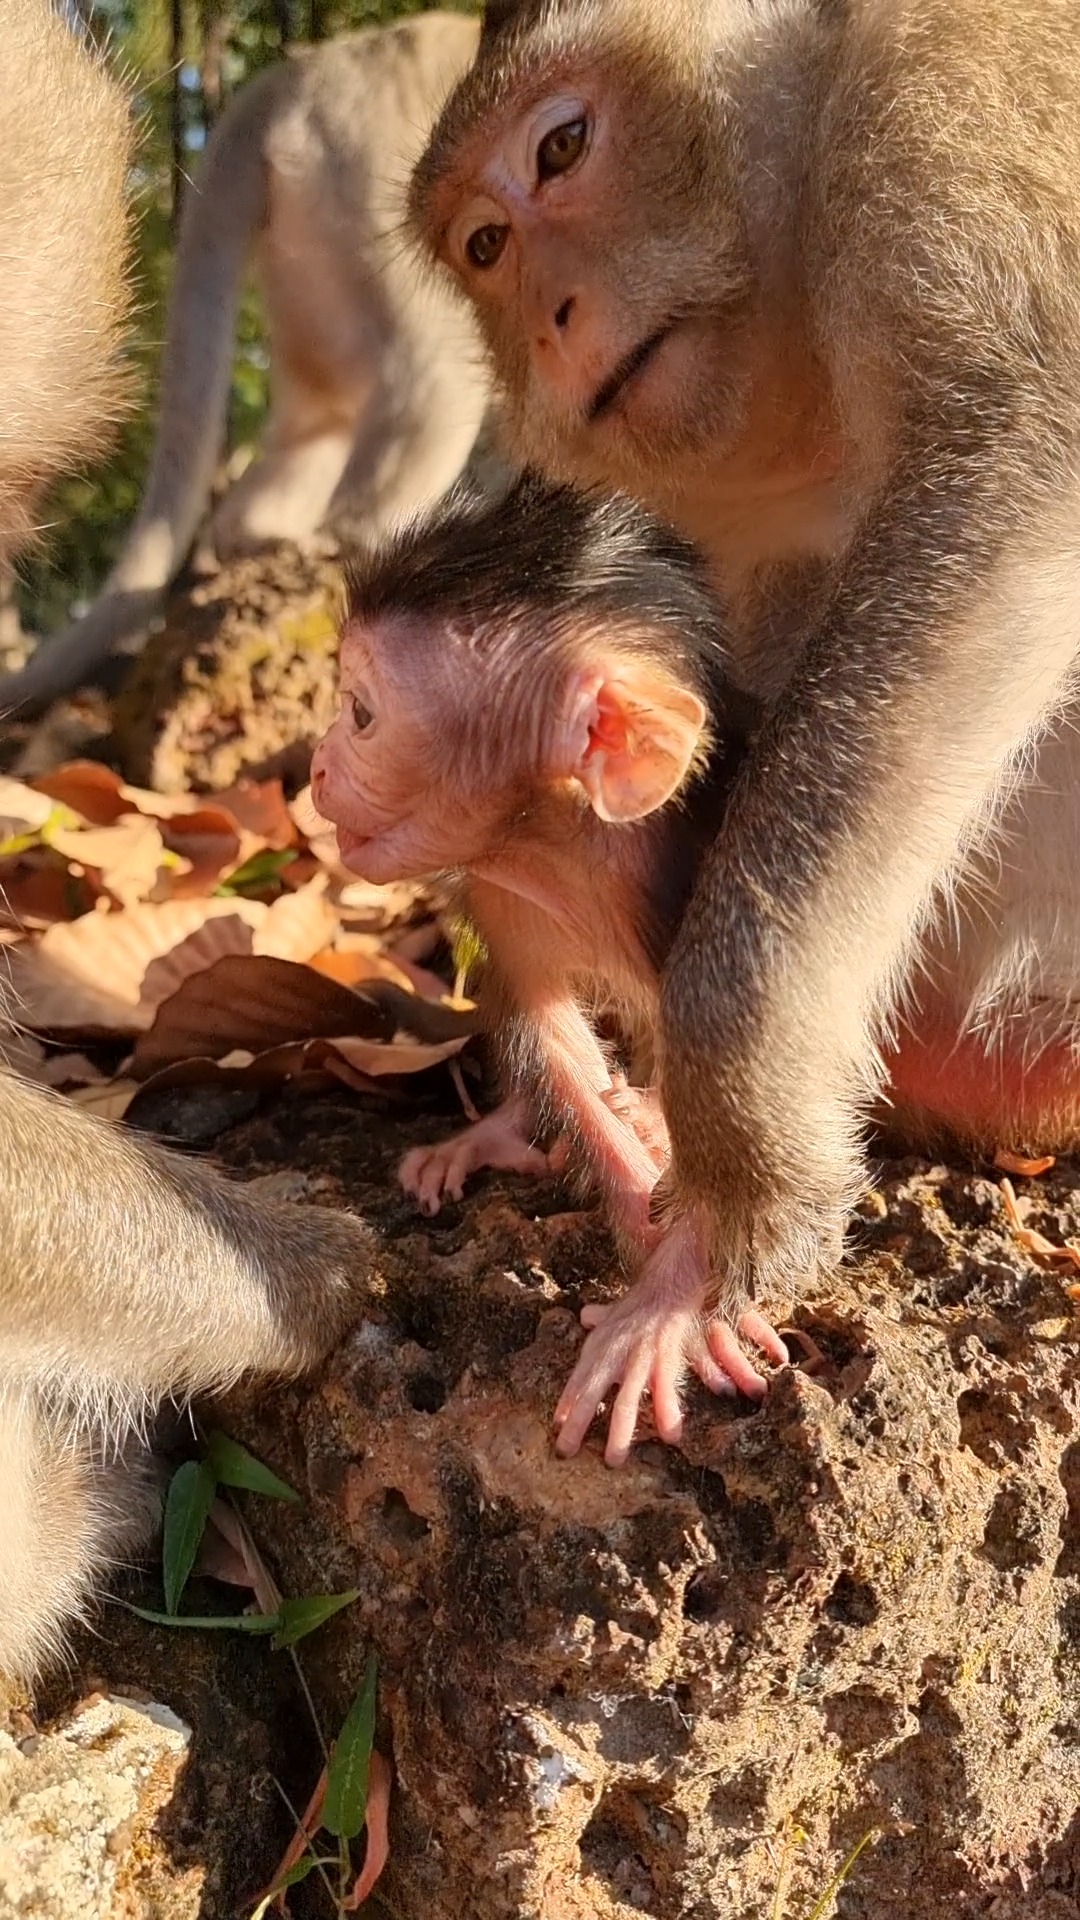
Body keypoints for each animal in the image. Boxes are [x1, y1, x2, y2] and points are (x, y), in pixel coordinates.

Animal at [0, 9, 490, 723]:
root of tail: (295, 74)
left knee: (323, 418)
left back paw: (259, 533)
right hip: (382, 180)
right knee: (435, 376)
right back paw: (363, 535)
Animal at [310, 474, 789, 1466]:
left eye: (362, 713)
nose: (317, 764)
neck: (561, 850)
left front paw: (673, 1303)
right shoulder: (501, 889)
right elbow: (550, 1039)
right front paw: (643, 1220)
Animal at [397, 0, 1080, 1457]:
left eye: (563, 148)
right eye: (484, 251)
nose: (548, 317)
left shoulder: (944, 99)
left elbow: (1011, 473)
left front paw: (727, 1214)